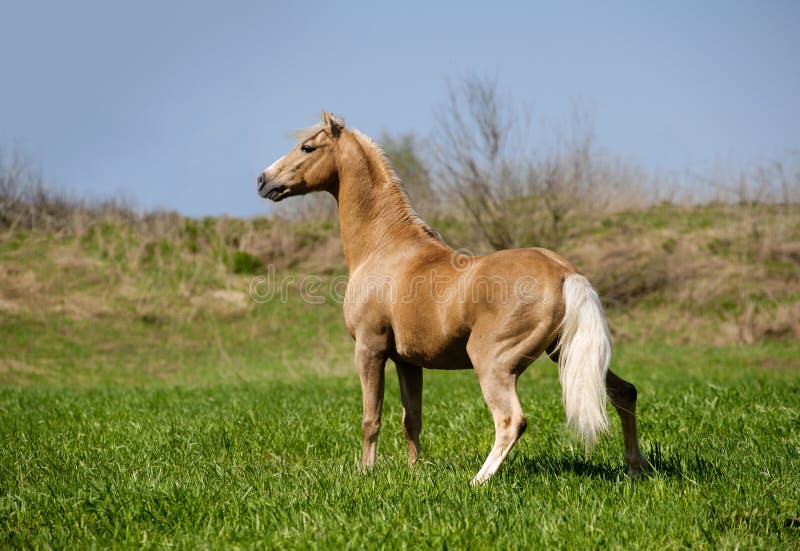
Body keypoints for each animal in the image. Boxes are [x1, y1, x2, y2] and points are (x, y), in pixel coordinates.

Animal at [257, 111, 649, 484]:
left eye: (308, 147)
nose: (263, 180)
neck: (385, 246)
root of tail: (564, 272)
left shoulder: (370, 348)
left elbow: (371, 419)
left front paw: (366, 473)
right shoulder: (407, 361)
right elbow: (411, 419)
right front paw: (415, 471)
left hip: (492, 362)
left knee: (511, 420)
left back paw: (477, 481)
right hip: (564, 352)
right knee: (625, 393)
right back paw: (636, 468)